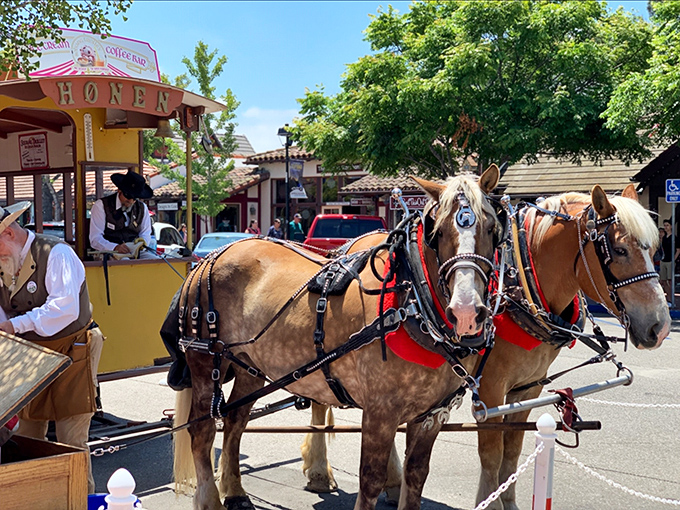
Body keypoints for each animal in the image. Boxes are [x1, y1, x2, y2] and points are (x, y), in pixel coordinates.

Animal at [170, 165, 502, 510]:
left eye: (493, 228)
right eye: (437, 232)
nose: (466, 311)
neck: (410, 300)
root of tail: (210, 257)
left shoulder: (432, 415)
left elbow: (416, 476)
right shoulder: (381, 411)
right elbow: (370, 480)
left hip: (250, 366)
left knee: (235, 421)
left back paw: (235, 491)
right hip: (206, 361)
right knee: (203, 430)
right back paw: (210, 499)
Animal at [300, 183, 671, 510]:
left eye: (654, 249)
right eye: (619, 250)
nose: (660, 326)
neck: (523, 284)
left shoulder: (528, 387)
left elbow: (513, 451)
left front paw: (509, 500)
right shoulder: (491, 388)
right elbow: (492, 452)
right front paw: (490, 501)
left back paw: (391, 483)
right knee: (321, 400)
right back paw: (320, 471)